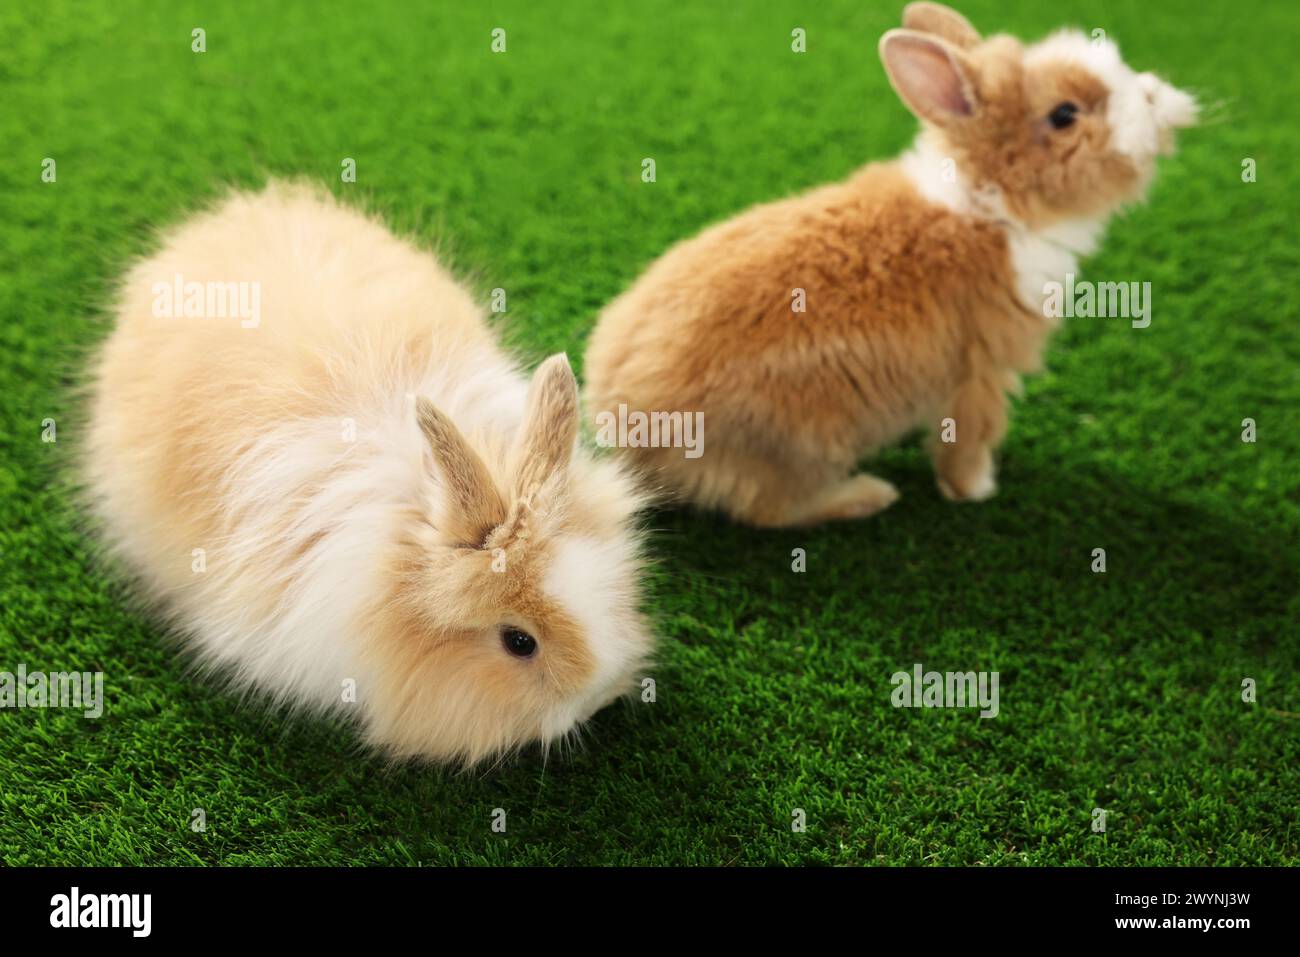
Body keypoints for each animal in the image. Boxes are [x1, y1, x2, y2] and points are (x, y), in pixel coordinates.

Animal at [583, 3, 1198, 527]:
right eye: (1065, 115)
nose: (1159, 98)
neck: (990, 205)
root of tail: (626, 433)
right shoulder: (979, 370)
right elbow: (971, 438)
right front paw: (976, 489)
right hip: (797, 446)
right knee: (771, 510)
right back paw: (867, 494)